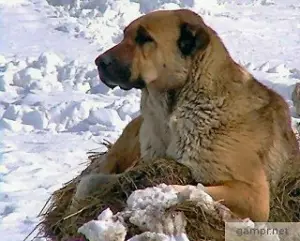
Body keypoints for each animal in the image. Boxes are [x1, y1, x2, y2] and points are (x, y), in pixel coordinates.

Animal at [74, 8, 300, 223]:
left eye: (144, 38)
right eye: (125, 36)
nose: (99, 62)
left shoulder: (254, 194)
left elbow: (186, 188)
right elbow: (94, 181)